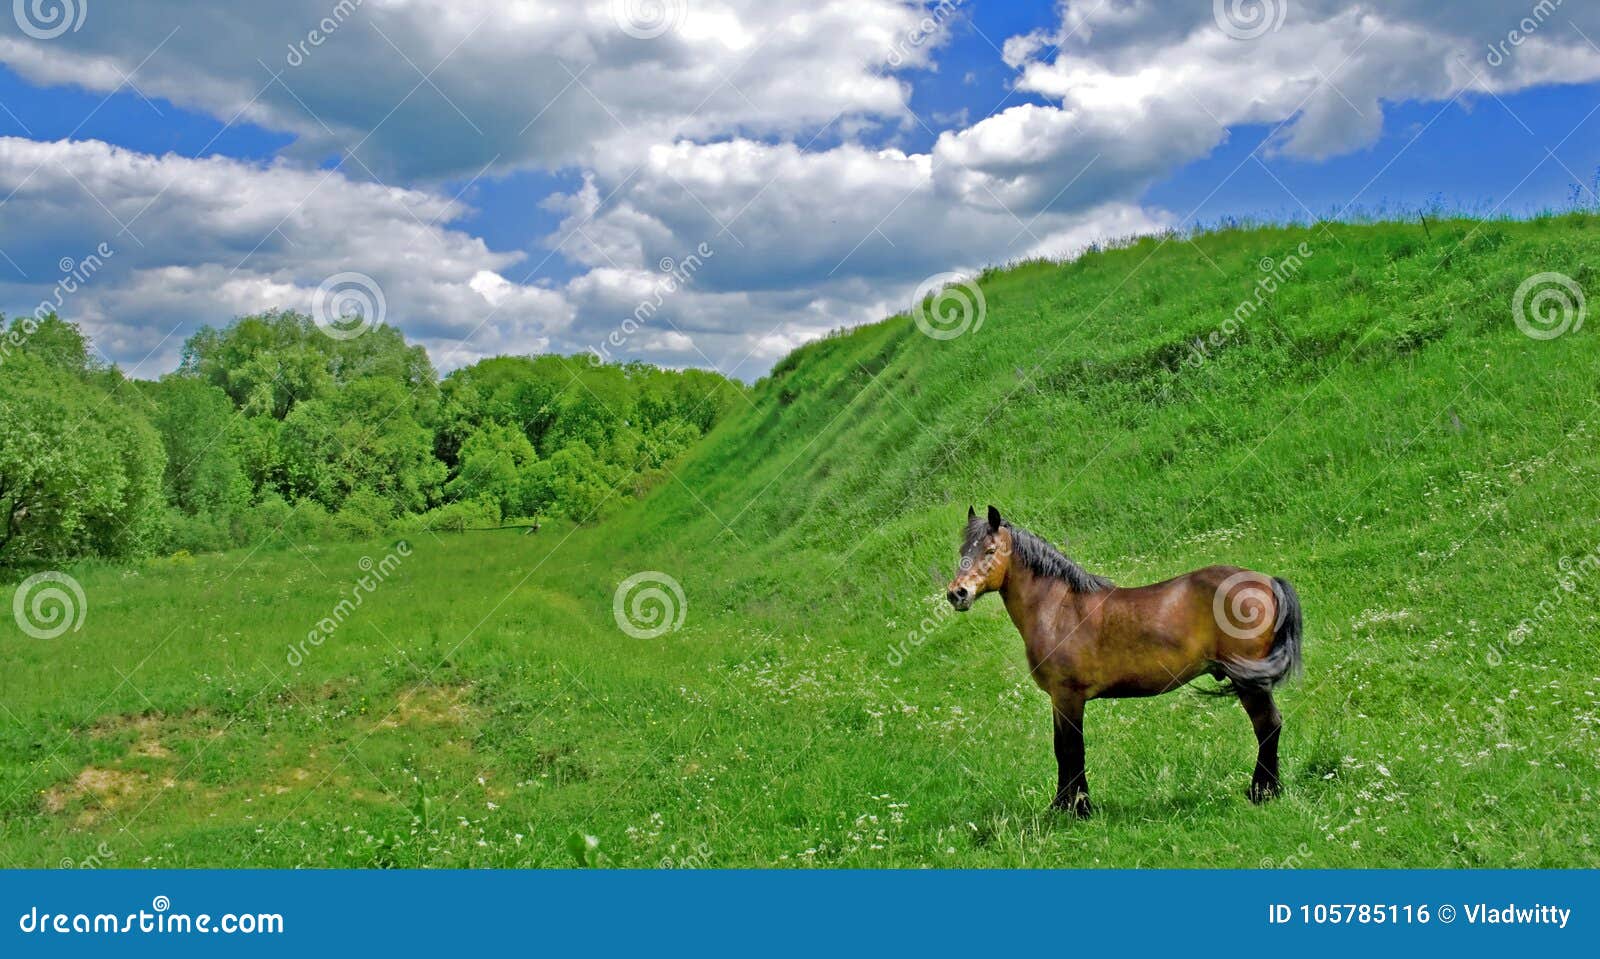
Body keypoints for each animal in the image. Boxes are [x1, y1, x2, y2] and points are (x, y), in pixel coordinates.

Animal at [945, 505, 1303, 817]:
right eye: (963, 549)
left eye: (990, 550)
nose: (957, 594)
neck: (1059, 608)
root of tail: (1268, 582)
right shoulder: (1058, 699)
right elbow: (1061, 748)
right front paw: (1061, 806)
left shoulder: (1069, 696)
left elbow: (1072, 749)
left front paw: (1080, 809)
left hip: (1249, 683)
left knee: (1267, 725)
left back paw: (1262, 792)